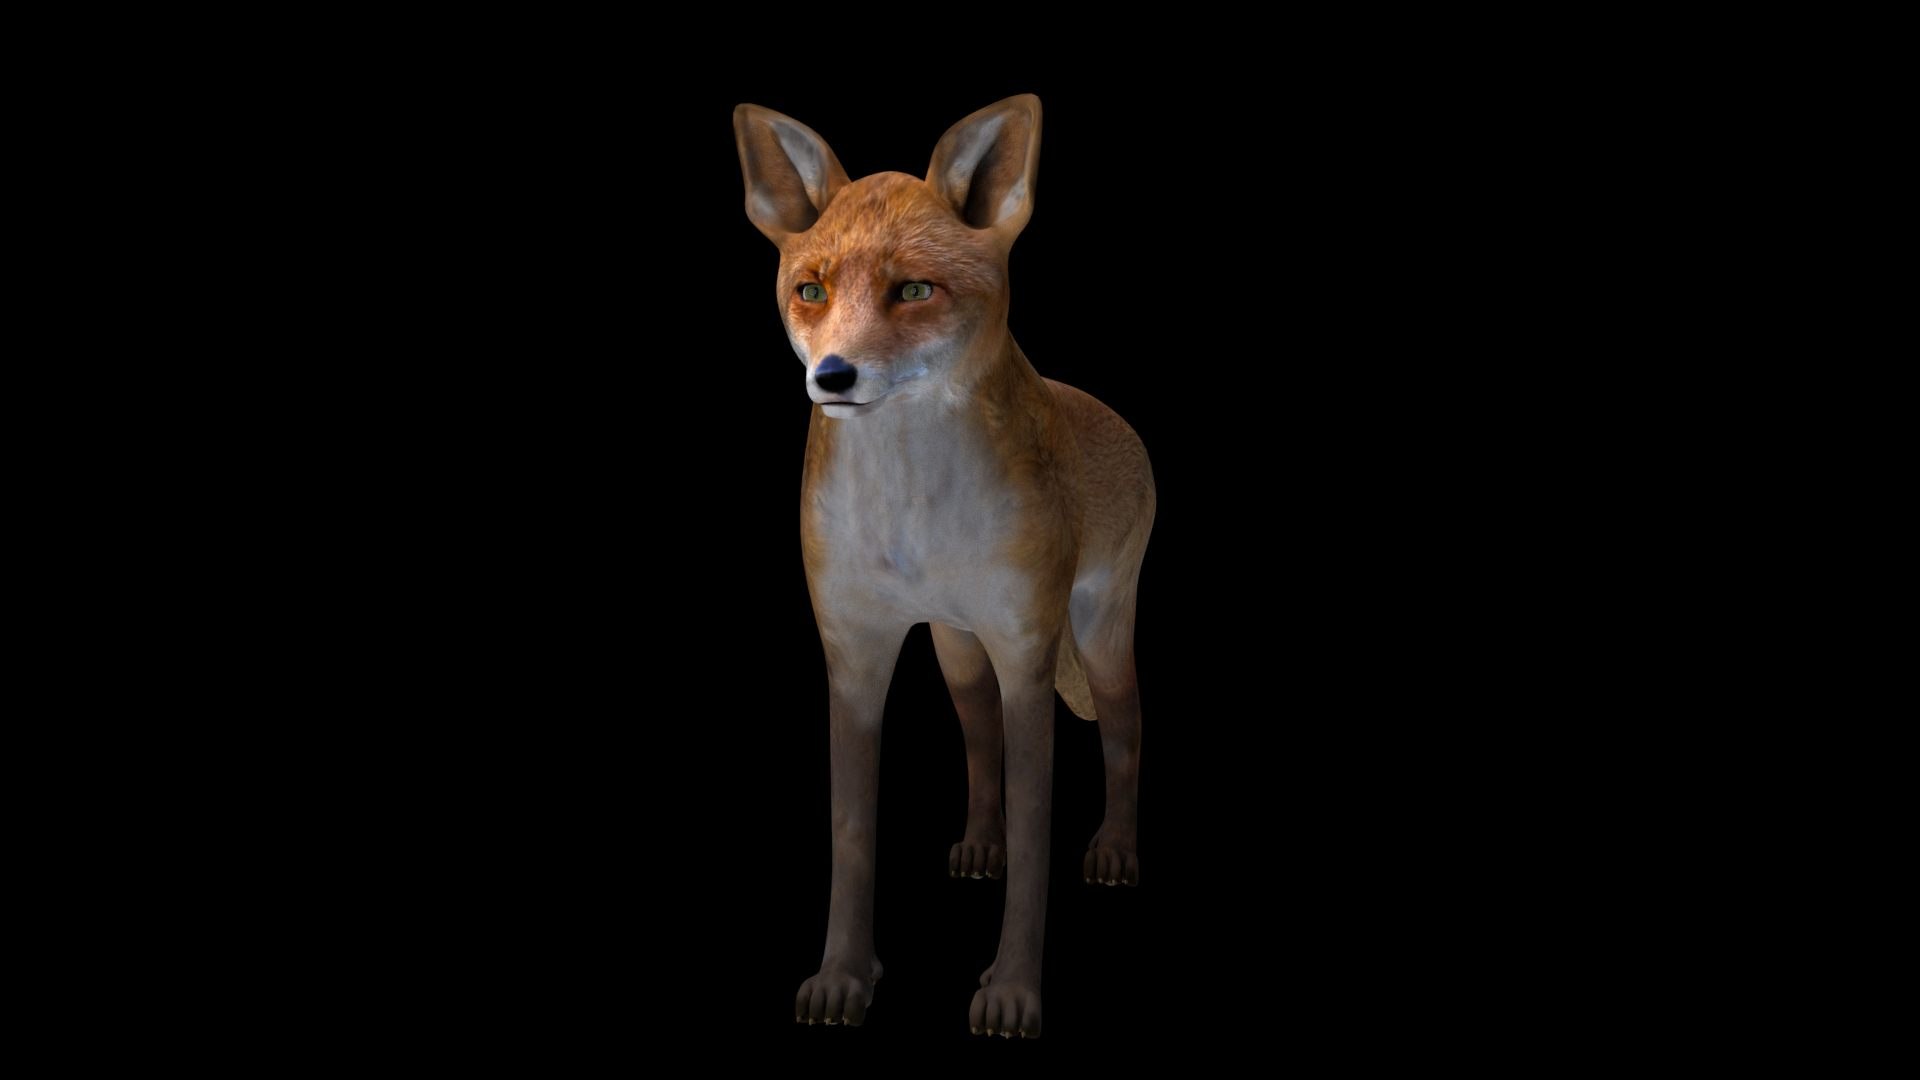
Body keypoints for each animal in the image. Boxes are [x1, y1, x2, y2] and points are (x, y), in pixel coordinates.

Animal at [735, 94, 1155, 1040]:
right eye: (811, 289)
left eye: (914, 290)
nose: (833, 375)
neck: (914, 519)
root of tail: (1105, 408)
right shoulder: (853, 652)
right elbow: (853, 837)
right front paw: (842, 980)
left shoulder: (1030, 655)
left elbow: (1039, 840)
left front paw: (1012, 993)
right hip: (957, 650)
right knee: (978, 737)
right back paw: (978, 846)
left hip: (1096, 634)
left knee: (1123, 730)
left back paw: (1116, 849)